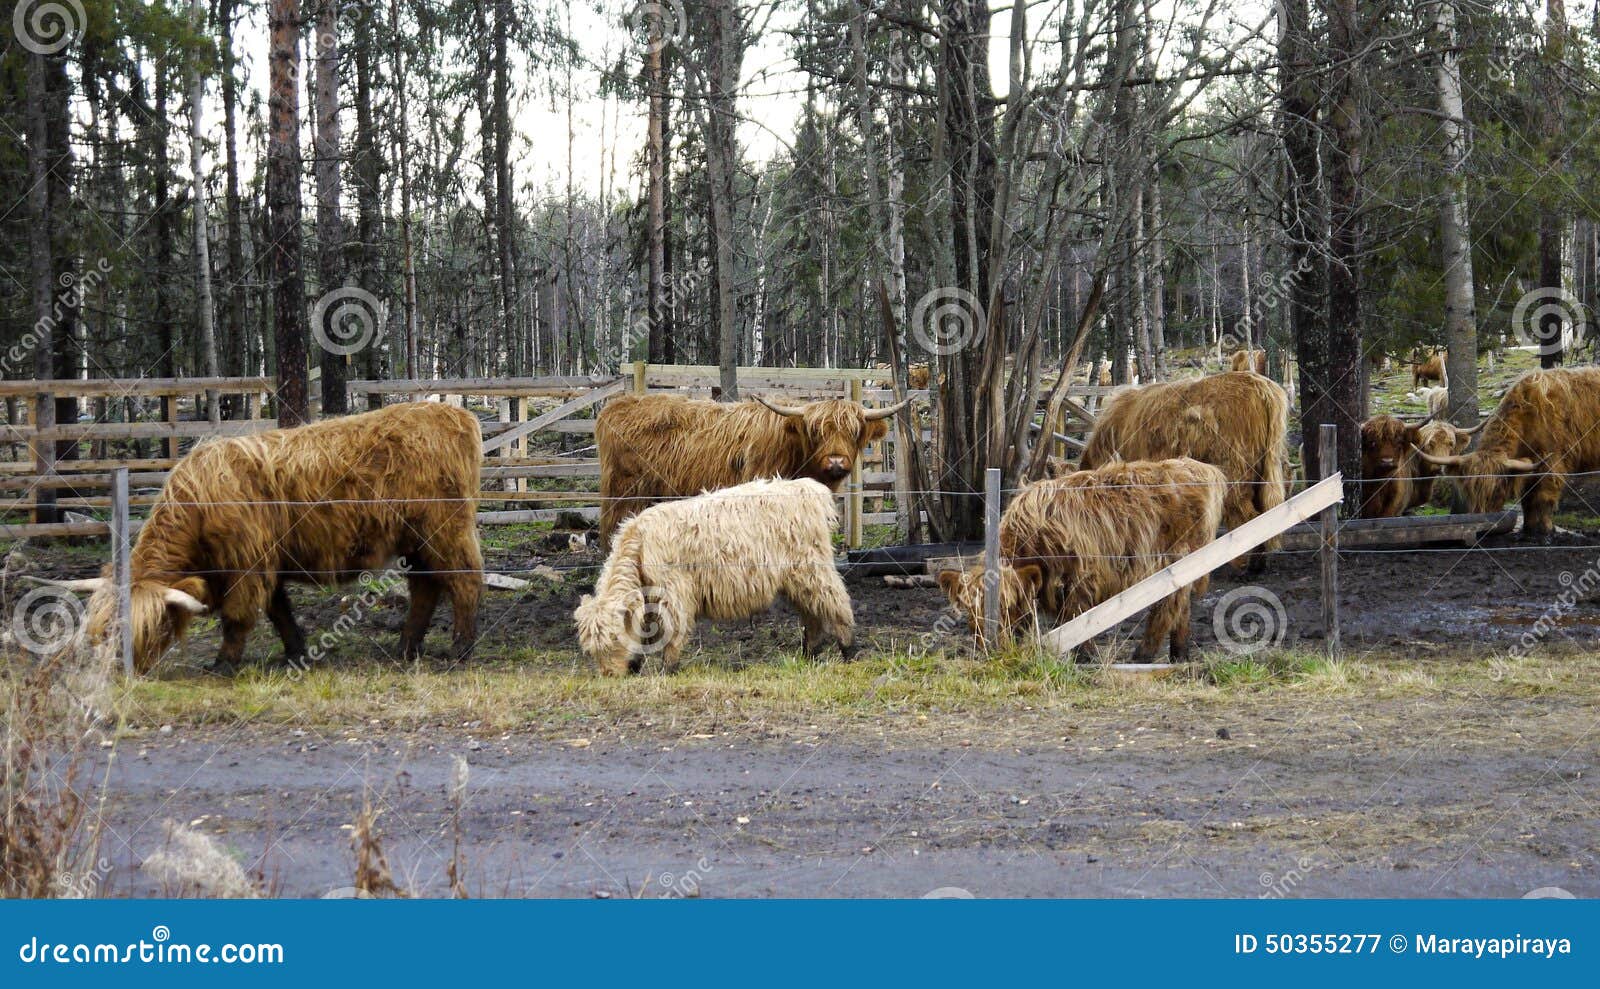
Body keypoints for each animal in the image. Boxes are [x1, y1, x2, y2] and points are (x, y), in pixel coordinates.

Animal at [37, 402, 483, 674]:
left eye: (143, 628)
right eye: (101, 630)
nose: (115, 669)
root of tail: (453, 413)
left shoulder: (246, 564)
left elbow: (238, 617)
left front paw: (223, 664)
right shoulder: (267, 563)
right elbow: (279, 610)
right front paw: (295, 651)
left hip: (445, 531)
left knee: (463, 580)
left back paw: (460, 648)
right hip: (416, 542)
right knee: (426, 588)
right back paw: (407, 647)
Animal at [575, 477, 855, 676]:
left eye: (613, 640)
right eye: (592, 650)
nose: (610, 674)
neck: (639, 547)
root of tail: (807, 488)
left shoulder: (674, 591)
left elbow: (673, 630)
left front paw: (668, 669)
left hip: (812, 568)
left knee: (837, 603)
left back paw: (848, 651)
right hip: (796, 579)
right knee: (812, 613)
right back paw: (810, 655)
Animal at [937, 458, 1226, 661]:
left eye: (1005, 606)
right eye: (969, 609)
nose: (986, 644)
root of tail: (1199, 467)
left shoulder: (1083, 575)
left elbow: (1077, 614)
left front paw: (1085, 654)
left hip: (1176, 559)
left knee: (1169, 605)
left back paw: (1145, 653)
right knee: (1181, 607)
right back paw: (1179, 653)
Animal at [1412, 366, 1600, 542]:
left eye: (1498, 489)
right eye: (1470, 491)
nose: (1485, 526)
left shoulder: (1552, 463)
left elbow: (1543, 497)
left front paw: (1545, 531)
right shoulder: (1528, 468)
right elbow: (1527, 499)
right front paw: (1527, 531)